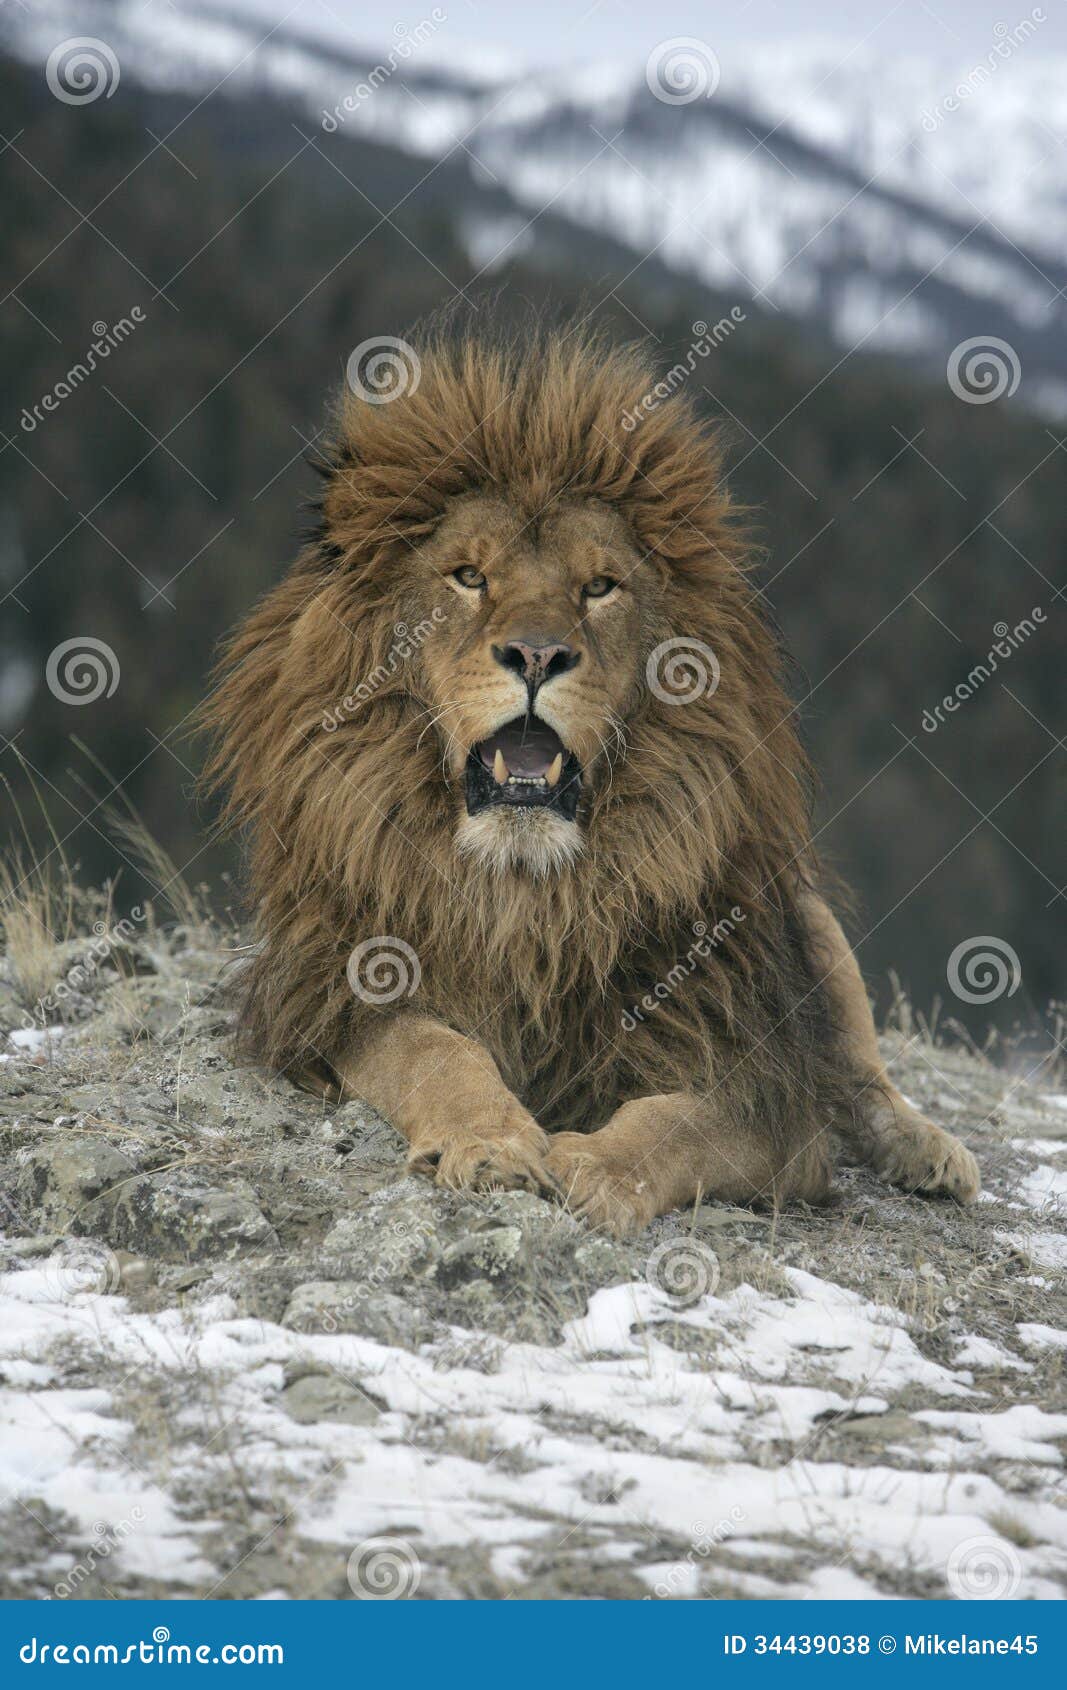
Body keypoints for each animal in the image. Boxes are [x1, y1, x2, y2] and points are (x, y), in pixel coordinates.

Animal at [201, 325, 979, 1234]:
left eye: (599, 587)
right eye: (469, 576)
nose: (537, 654)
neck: (525, 894)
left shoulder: (753, 1073)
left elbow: (679, 1120)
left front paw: (595, 1166)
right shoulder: (339, 991)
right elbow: (434, 1050)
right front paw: (492, 1143)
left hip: (809, 927)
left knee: (863, 1079)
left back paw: (931, 1153)